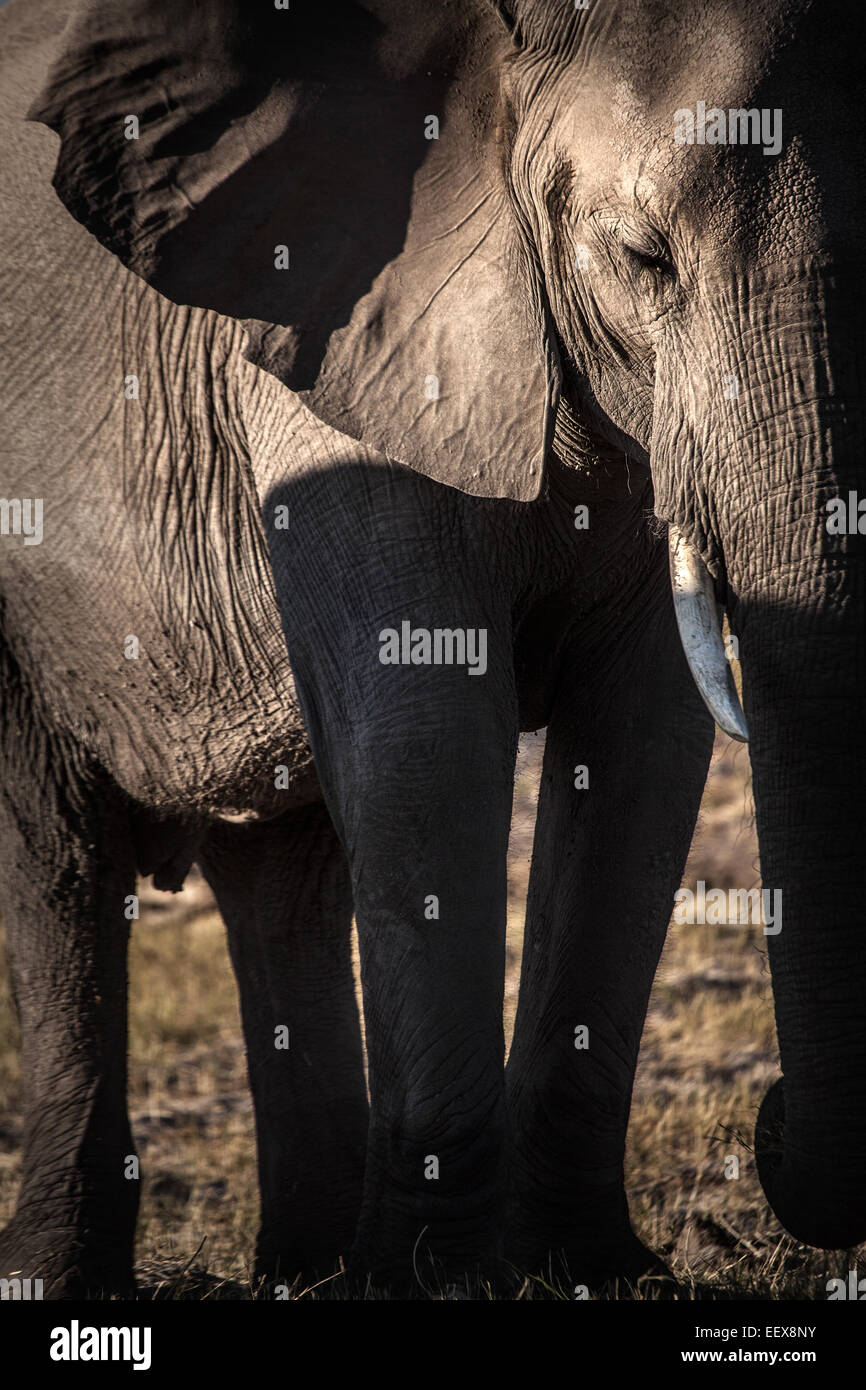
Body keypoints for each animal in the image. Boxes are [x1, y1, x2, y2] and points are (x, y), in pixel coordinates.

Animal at [0, 0, 863, 1298]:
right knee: (60, 864)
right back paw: (70, 1278)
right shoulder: (338, 319)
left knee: (283, 873)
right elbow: (427, 734)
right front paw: (431, 1283)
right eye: (640, 258)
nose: (762, 1126)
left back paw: (305, 1270)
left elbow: (639, 748)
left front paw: (591, 1270)